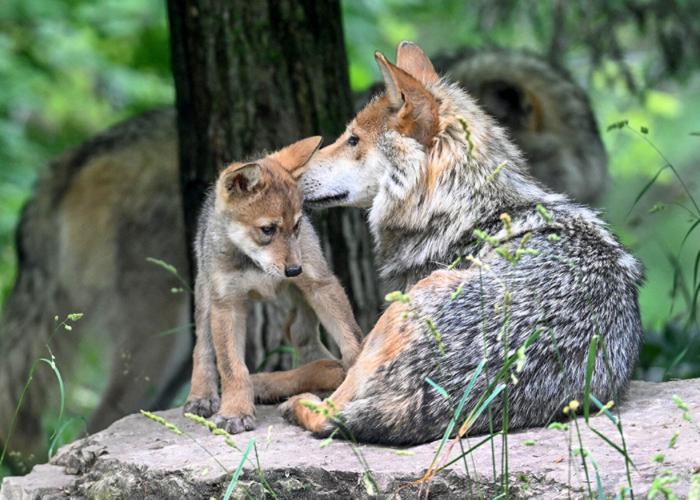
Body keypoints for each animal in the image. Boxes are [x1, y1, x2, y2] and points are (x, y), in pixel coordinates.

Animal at [183, 137, 361, 433]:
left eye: (297, 226)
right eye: (267, 230)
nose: (293, 269)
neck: (256, 267)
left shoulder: (320, 283)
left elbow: (353, 340)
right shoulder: (227, 305)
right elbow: (232, 367)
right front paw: (235, 412)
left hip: (301, 301)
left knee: (305, 341)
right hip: (207, 298)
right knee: (203, 349)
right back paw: (202, 395)